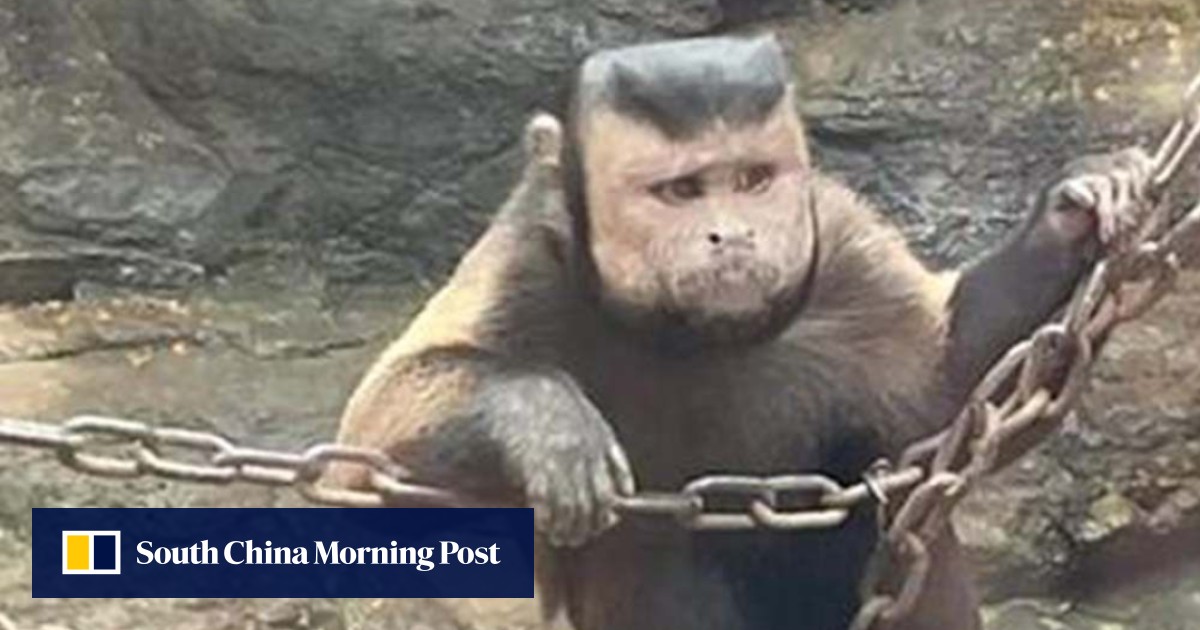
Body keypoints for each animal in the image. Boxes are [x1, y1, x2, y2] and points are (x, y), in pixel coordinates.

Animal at [327, 35, 1153, 630]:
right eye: (683, 191)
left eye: (752, 180)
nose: (731, 234)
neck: (690, 334)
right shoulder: (525, 264)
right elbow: (362, 472)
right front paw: (542, 419)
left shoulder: (841, 249)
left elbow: (953, 400)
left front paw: (1069, 218)